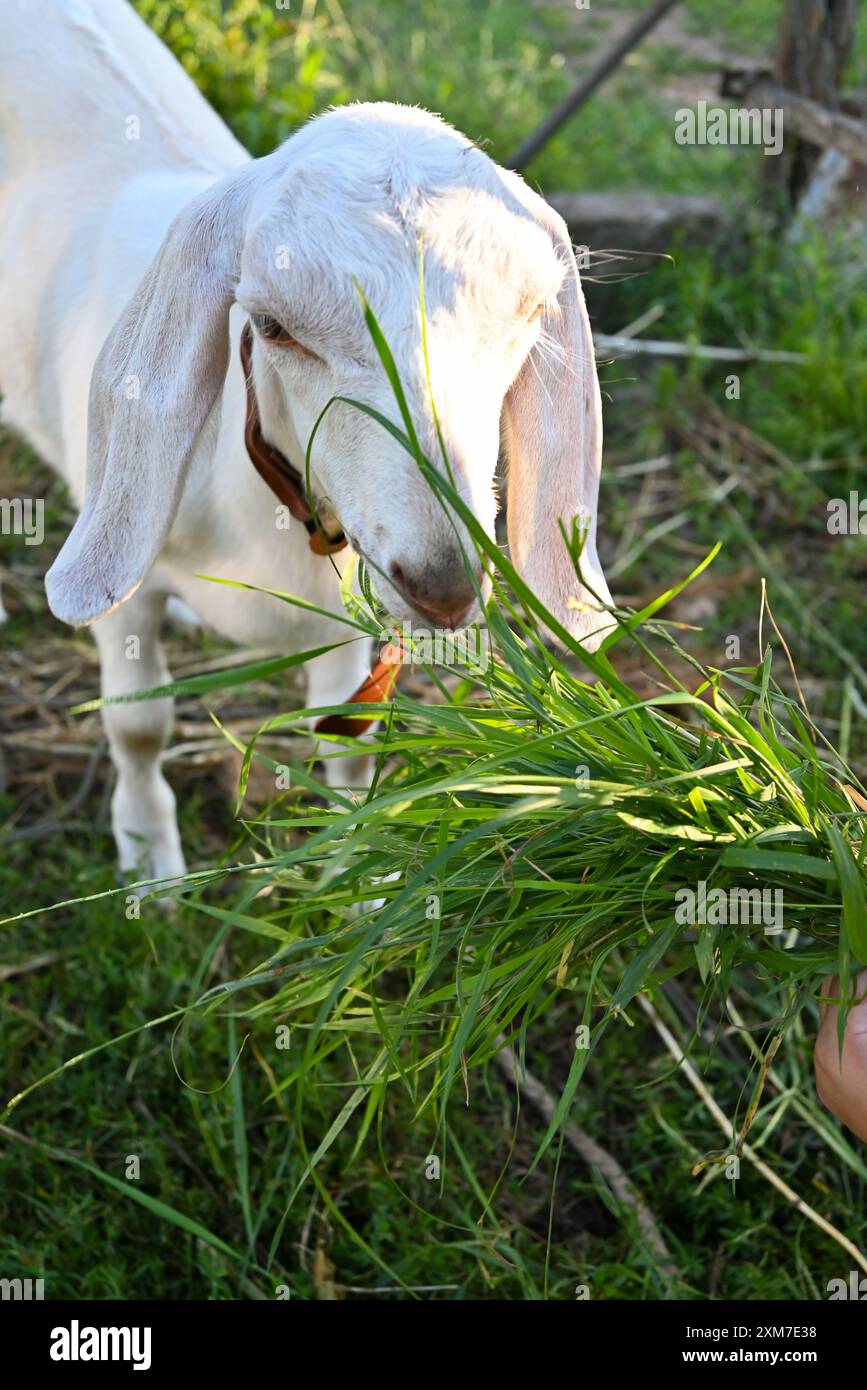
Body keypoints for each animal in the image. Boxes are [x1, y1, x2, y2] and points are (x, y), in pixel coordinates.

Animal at [0, 0, 612, 889]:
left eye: (531, 315)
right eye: (271, 326)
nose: (445, 586)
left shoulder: (349, 611)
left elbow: (348, 746)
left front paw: (355, 883)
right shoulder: (124, 593)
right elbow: (138, 726)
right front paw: (152, 866)